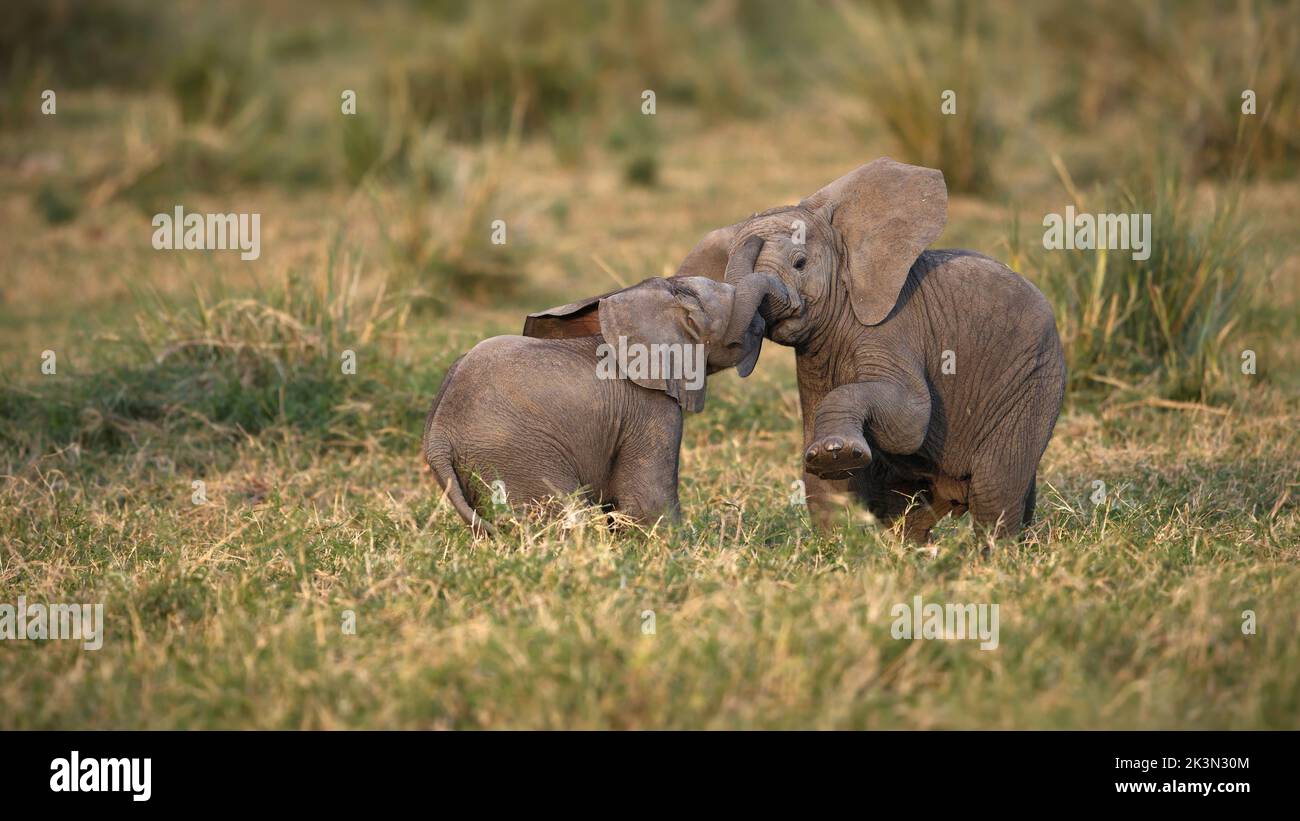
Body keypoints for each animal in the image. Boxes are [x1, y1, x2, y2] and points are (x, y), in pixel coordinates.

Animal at [422, 255, 768, 536]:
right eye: (696, 304)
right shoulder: (649, 408)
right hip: (516, 455)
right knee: (569, 517)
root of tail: (439, 437)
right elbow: (647, 502)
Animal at [676, 158, 1066, 540]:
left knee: (994, 490)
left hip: (1032, 380)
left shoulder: (892, 329)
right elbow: (824, 482)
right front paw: (839, 541)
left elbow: (909, 419)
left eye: (800, 263)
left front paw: (836, 453)